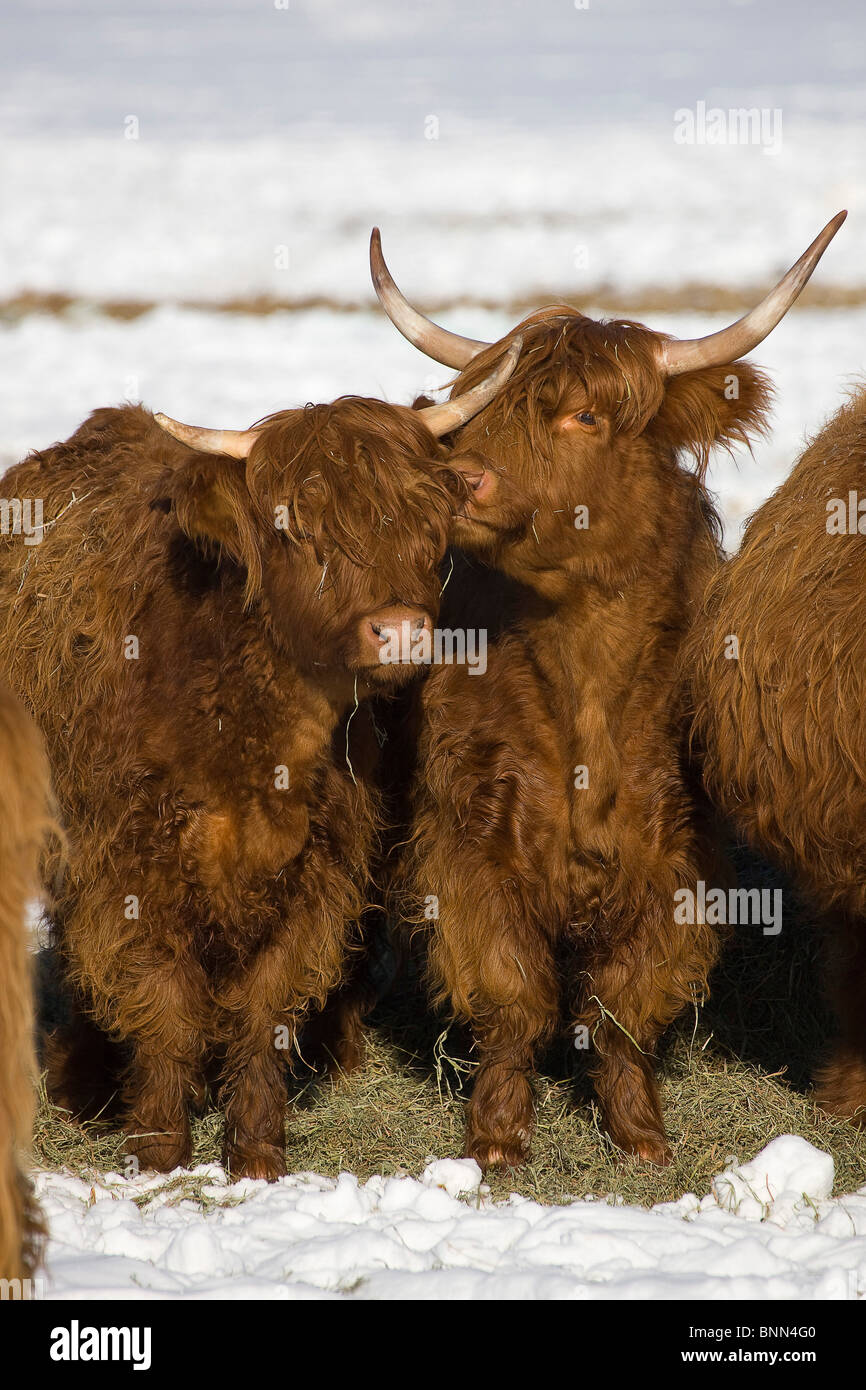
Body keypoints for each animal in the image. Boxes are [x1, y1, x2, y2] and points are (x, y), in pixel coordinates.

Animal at [0, 354, 518, 1182]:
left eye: (426, 522)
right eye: (296, 528)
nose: (401, 631)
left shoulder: (317, 880)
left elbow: (264, 1016)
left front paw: (255, 1152)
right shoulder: (131, 870)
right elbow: (163, 1009)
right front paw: (159, 1148)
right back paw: (82, 1080)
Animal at [370, 212, 845, 1169]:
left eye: (584, 415)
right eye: (479, 413)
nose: (460, 478)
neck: (583, 677)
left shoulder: (674, 855)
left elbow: (626, 1003)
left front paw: (641, 1134)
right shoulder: (471, 846)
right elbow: (512, 996)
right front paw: (498, 1139)